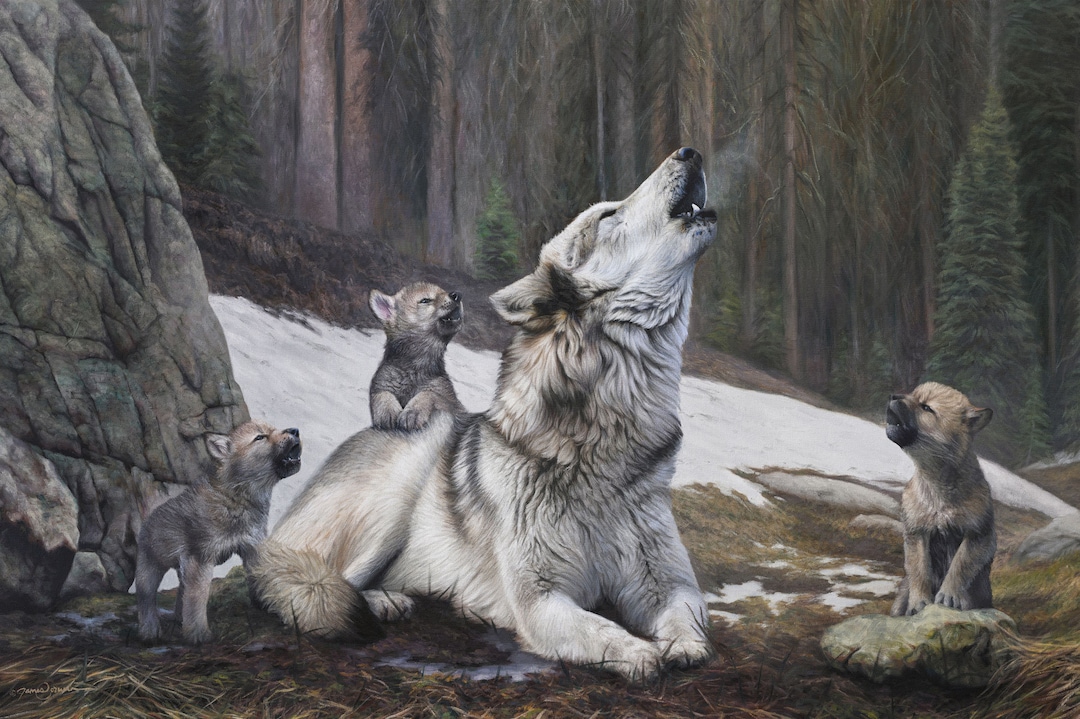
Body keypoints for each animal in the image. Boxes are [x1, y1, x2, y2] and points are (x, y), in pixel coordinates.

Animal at [136, 420, 302, 643]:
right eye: (260, 437)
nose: (295, 430)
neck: (237, 497)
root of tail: (150, 516)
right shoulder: (200, 559)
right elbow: (197, 599)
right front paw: (198, 635)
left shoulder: (251, 548)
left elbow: (259, 580)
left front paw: (268, 607)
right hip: (150, 568)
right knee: (146, 600)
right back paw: (149, 631)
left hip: (181, 569)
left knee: (181, 594)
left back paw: (178, 620)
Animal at [368, 282, 466, 431]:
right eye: (425, 300)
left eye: (443, 291)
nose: (457, 295)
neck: (414, 369)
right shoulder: (380, 385)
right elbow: (382, 394)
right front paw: (388, 412)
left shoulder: (450, 401)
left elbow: (430, 394)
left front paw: (413, 412)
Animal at [886, 382, 996, 616]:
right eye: (912, 394)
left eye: (926, 407)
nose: (893, 396)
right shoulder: (917, 532)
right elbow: (920, 571)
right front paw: (919, 602)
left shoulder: (978, 534)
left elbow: (959, 566)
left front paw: (949, 596)